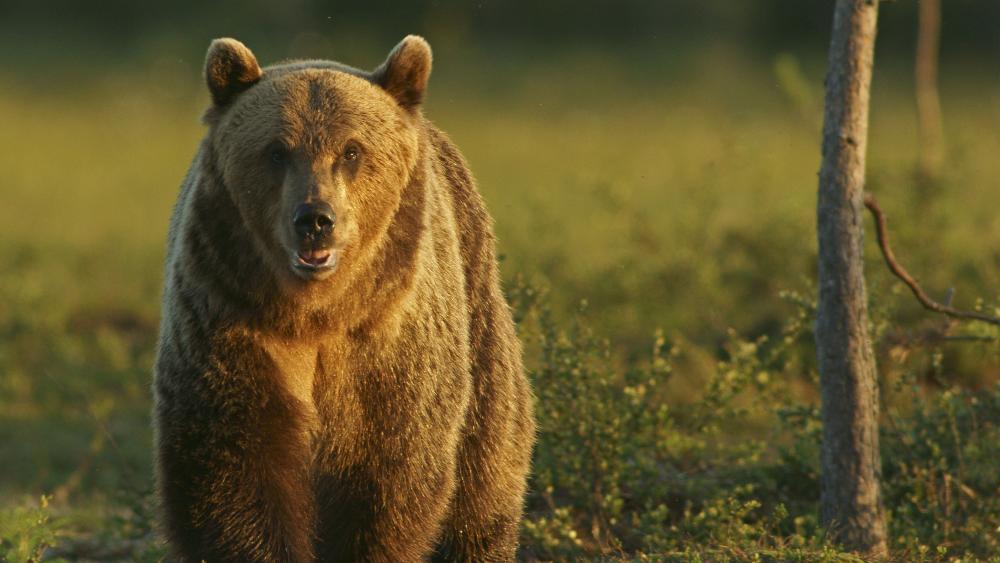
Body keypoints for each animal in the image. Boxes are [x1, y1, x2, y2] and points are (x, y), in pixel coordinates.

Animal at [152, 35, 536, 562]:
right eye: (277, 151)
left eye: (352, 150)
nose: (315, 219)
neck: (315, 312)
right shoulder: (228, 316)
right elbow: (237, 464)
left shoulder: (390, 345)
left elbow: (389, 473)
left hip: (478, 319)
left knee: (486, 471)